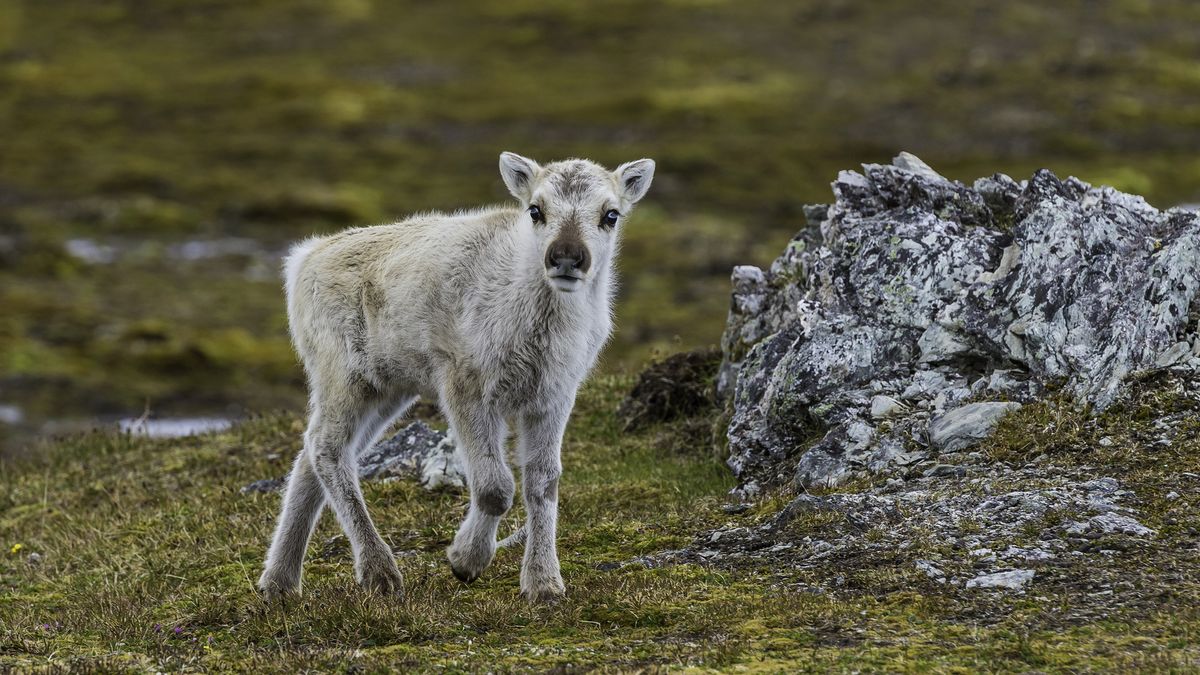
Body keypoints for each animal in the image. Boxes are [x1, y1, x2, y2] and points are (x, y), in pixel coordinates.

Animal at [257, 152, 655, 603]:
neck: (540, 326)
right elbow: (495, 487)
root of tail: (302, 259)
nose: (567, 257)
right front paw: (465, 560)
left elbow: (543, 482)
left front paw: (544, 584)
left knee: (312, 452)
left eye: (611, 215)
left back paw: (279, 582)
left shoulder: (553, 395)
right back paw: (378, 571)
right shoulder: (465, 385)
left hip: (388, 387)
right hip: (344, 375)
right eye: (536, 210)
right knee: (326, 448)